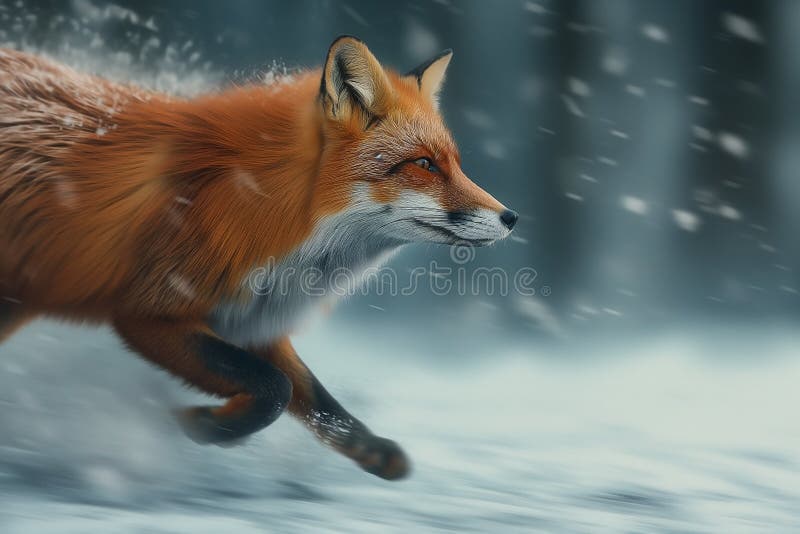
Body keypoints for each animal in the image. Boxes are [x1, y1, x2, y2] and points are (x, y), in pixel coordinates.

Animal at [0, 36, 517, 480]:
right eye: (424, 164)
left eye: (455, 163)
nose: (511, 217)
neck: (263, 203)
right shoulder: (148, 313)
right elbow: (273, 388)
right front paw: (206, 425)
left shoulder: (251, 319)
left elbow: (319, 401)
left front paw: (372, 452)